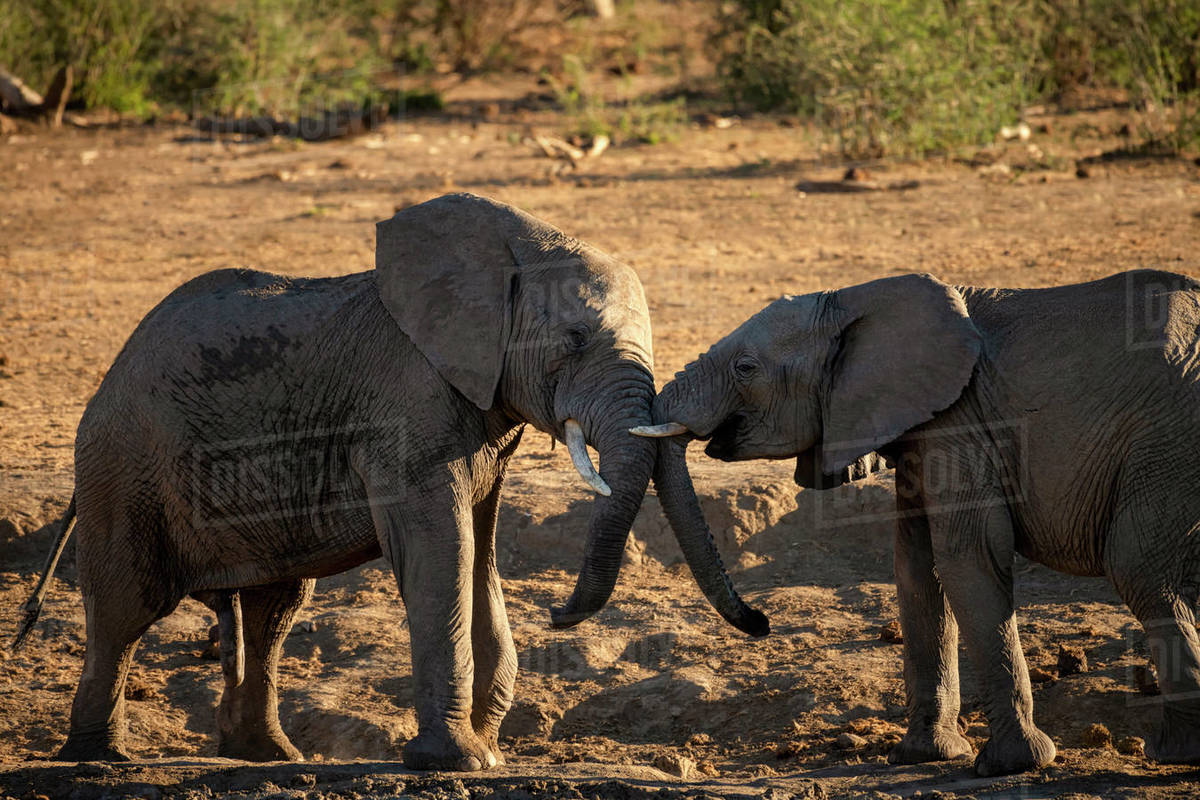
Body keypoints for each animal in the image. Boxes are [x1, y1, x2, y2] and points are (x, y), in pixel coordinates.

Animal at [12, 192, 765, 770]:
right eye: (574, 340)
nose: (558, 613)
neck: (511, 252)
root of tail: (110, 371)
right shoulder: (404, 405)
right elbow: (442, 551)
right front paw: (459, 761)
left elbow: (479, 555)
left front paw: (488, 754)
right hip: (124, 465)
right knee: (126, 604)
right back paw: (99, 760)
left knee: (272, 608)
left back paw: (269, 757)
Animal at [632, 269, 1200, 776]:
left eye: (746, 368)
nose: (760, 622)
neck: (854, 297)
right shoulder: (924, 430)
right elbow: (917, 567)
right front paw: (924, 756)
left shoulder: (959, 423)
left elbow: (966, 558)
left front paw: (1007, 765)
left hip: (1166, 445)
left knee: (1140, 571)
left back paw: (1172, 754)